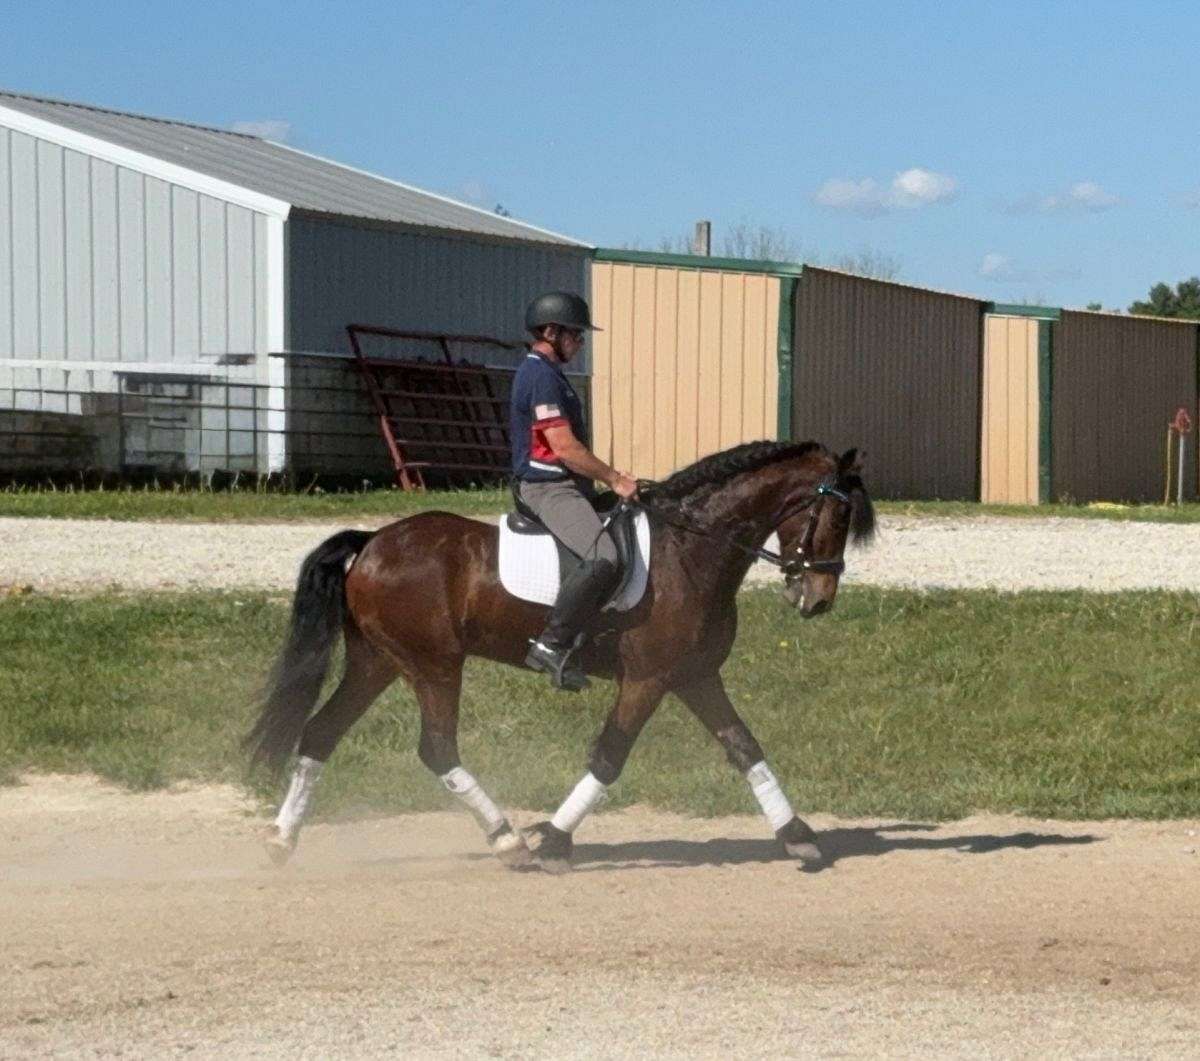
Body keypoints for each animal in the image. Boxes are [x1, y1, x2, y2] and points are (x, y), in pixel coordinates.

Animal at [246, 440, 875, 872]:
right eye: (836, 516)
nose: (818, 599)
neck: (689, 549)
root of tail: (372, 542)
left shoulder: (694, 675)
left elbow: (745, 747)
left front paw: (799, 836)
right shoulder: (648, 678)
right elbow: (609, 757)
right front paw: (553, 840)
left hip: (377, 661)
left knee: (320, 733)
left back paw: (281, 839)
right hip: (433, 665)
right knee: (437, 747)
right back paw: (508, 840)